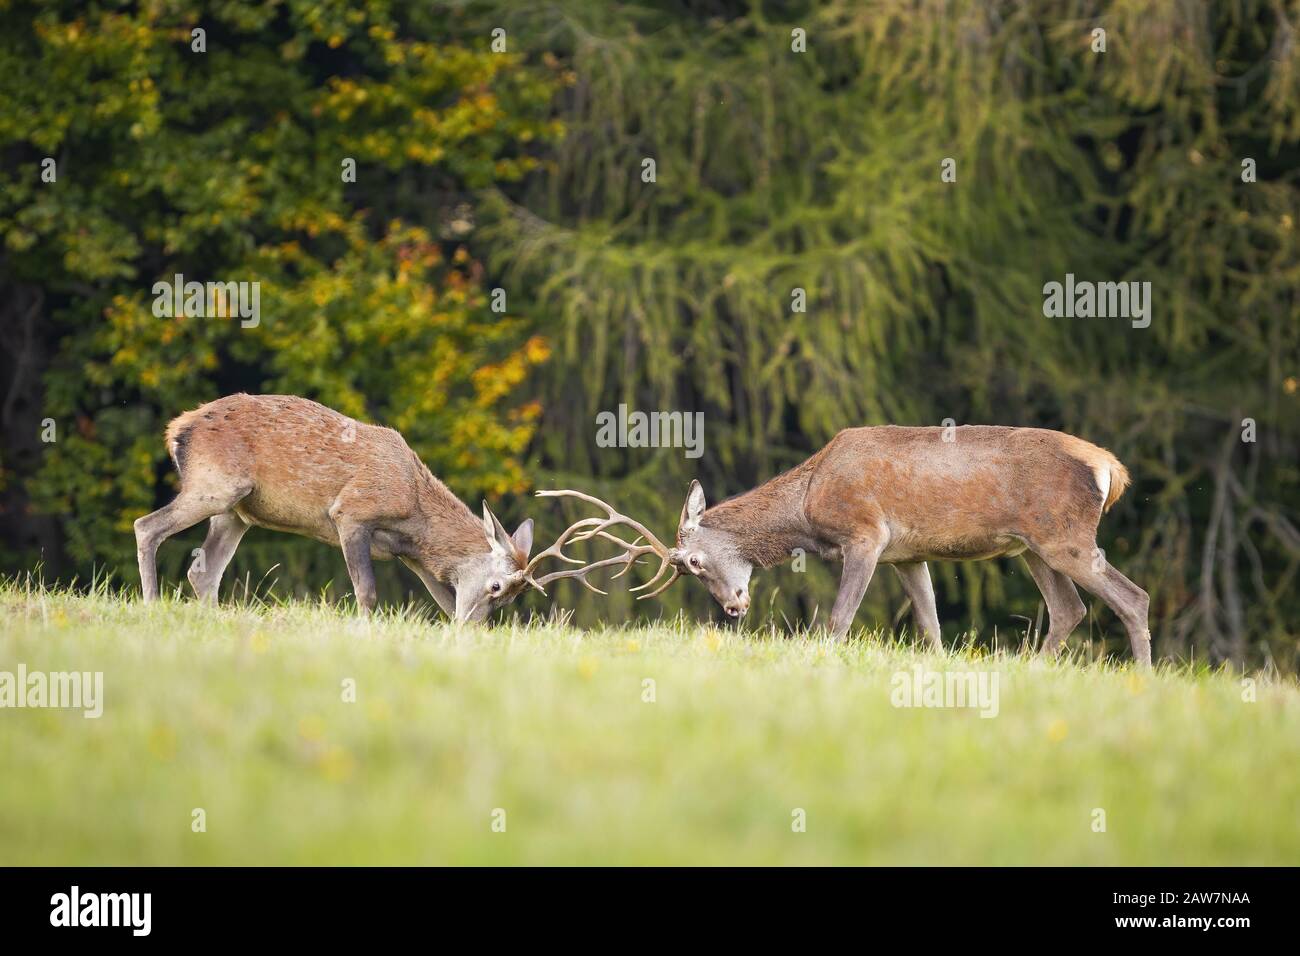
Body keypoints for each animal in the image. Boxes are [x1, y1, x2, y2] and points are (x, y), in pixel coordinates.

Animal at [133, 393, 615, 621]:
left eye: (511, 598)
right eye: (497, 587)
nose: (474, 626)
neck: (413, 510)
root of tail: (177, 428)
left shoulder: (412, 555)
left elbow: (443, 600)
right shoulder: (351, 513)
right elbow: (366, 591)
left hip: (236, 511)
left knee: (203, 570)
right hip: (215, 486)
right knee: (146, 525)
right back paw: (152, 604)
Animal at [540, 425, 1152, 666]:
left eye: (693, 561)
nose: (734, 607)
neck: (808, 502)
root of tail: (1110, 469)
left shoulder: (867, 534)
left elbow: (837, 619)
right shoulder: (909, 554)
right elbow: (929, 624)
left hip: (1064, 537)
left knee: (1134, 597)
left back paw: (1143, 678)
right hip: (1031, 547)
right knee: (1069, 609)